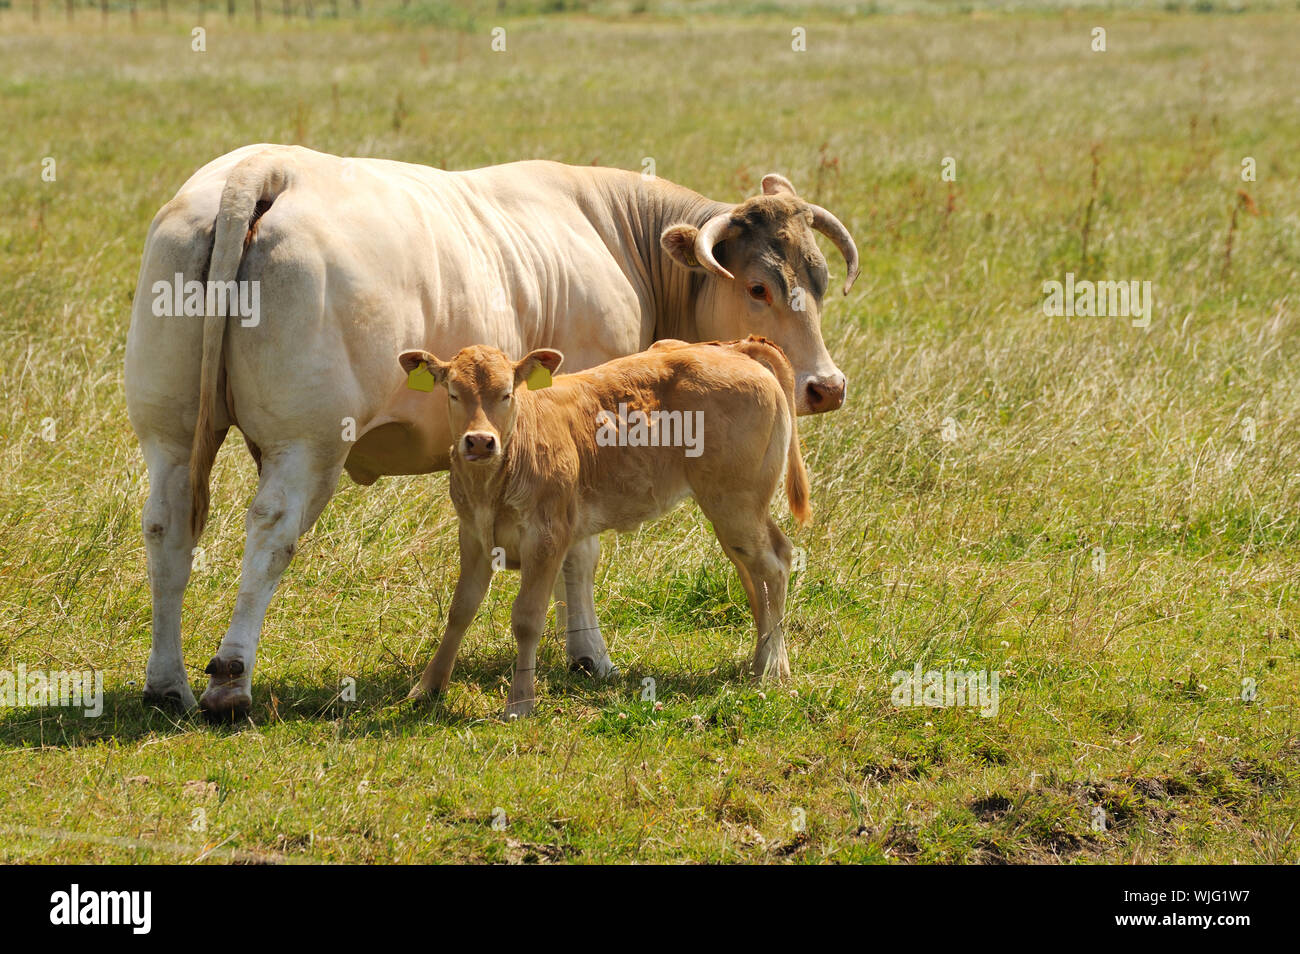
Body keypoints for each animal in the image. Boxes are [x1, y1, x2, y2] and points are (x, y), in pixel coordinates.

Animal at [399, 337, 809, 718]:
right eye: (453, 393)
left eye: (506, 394)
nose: (481, 442)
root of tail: (733, 348)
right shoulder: (473, 535)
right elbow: (461, 609)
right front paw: (427, 687)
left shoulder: (546, 538)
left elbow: (528, 618)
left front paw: (521, 701)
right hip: (733, 513)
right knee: (755, 570)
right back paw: (761, 661)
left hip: (737, 503)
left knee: (774, 564)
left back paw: (772, 668)